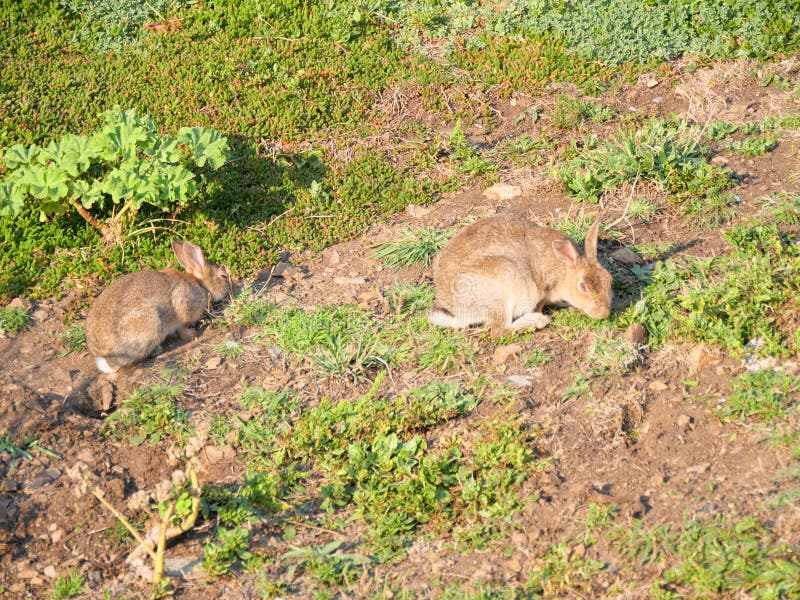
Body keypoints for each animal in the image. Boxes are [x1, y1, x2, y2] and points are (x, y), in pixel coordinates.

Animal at [86, 240, 231, 373]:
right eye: (223, 276)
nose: (229, 288)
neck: (201, 285)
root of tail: (108, 360)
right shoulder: (183, 305)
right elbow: (182, 326)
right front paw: (191, 334)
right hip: (151, 321)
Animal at [429, 214, 612, 333]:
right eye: (583, 286)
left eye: (609, 281)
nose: (604, 314)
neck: (563, 270)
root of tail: (460, 311)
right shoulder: (540, 292)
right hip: (505, 283)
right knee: (500, 329)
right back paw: (538, 321)